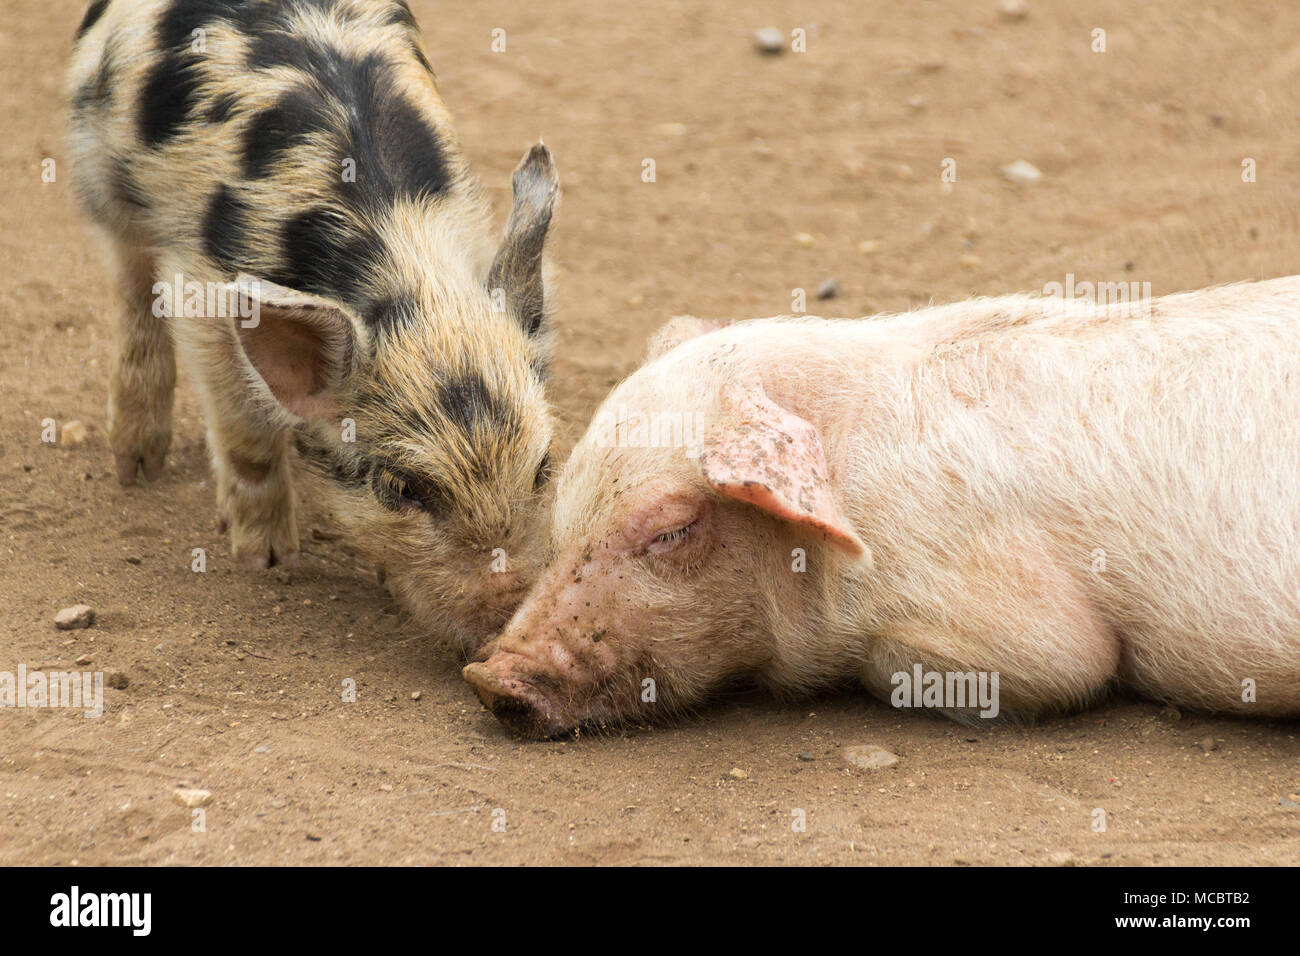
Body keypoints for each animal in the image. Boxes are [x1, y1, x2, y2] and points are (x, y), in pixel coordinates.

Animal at [66, 0, 559, 650]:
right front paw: (269, 561)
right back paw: (135, 469)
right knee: (129, 287)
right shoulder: (200, 289)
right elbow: (245, 431)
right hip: (100, 172)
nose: (507, 618)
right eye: (401, 487)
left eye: (544, 466)